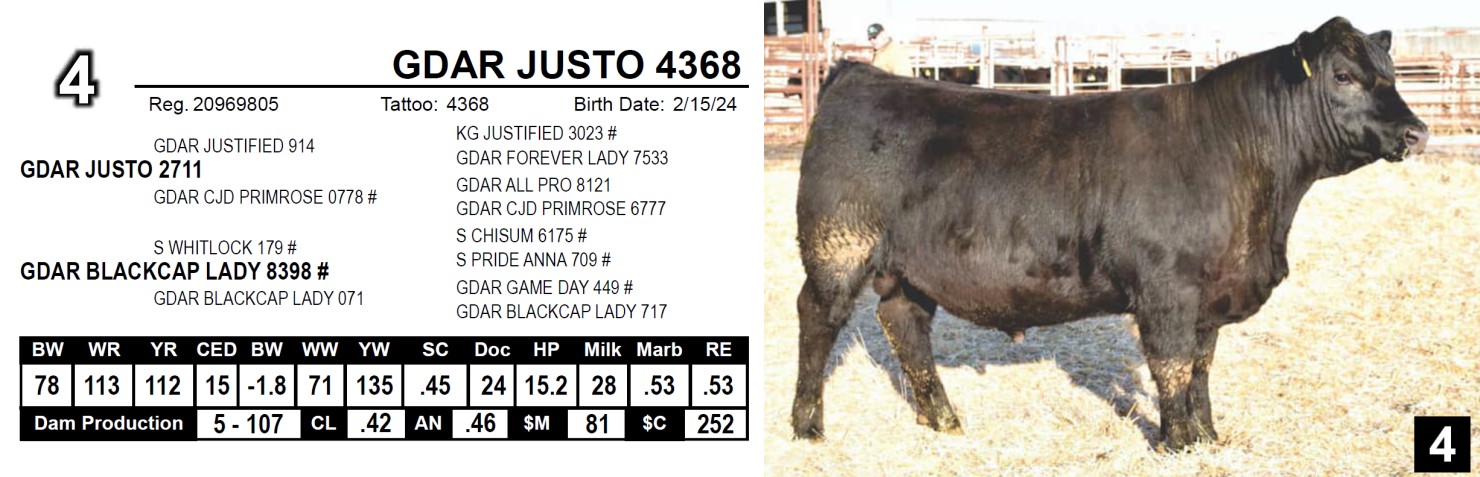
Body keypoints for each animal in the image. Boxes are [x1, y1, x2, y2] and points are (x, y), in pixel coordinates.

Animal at [792, 17, 1428, 451]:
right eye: (1343, 76)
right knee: (818, 320)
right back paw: (807, 426)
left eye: (1392, 75)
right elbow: (1172, 367)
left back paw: (944, 421)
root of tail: (858, 76)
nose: (1416, 132)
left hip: (906, 267)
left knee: (905, 325)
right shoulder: (1167, 290)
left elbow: (1201, 367)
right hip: (836, 247)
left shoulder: (1208, 295)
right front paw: (1179, 443)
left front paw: (1208, 436)